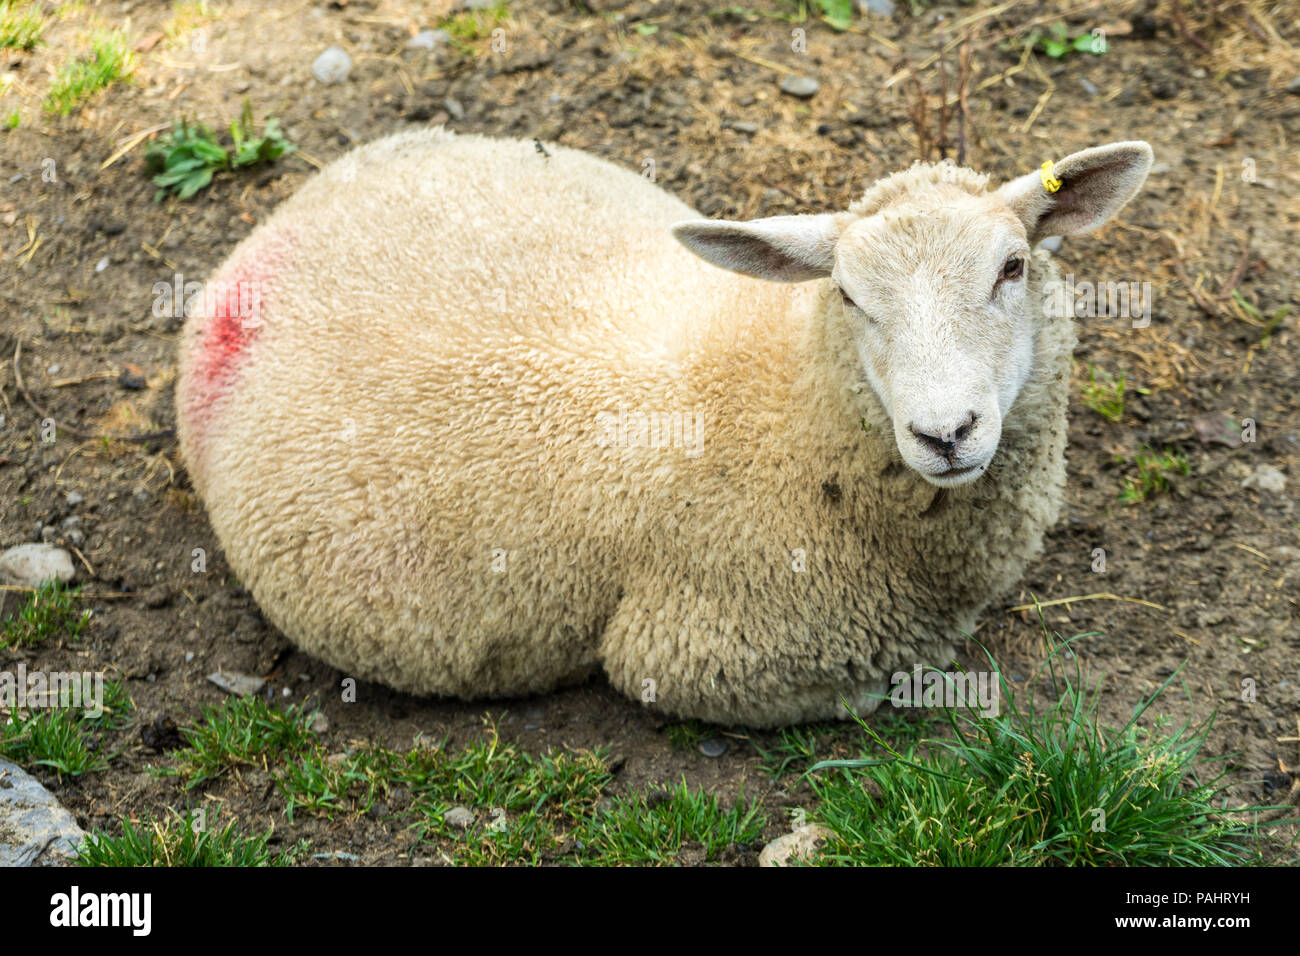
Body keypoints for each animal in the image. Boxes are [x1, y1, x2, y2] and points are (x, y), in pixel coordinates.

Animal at [175, 128, 1152, 727]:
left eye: (1013, 267)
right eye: (846, 296)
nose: (945, 433)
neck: (782, 398)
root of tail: (262, 249)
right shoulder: (716, 653)